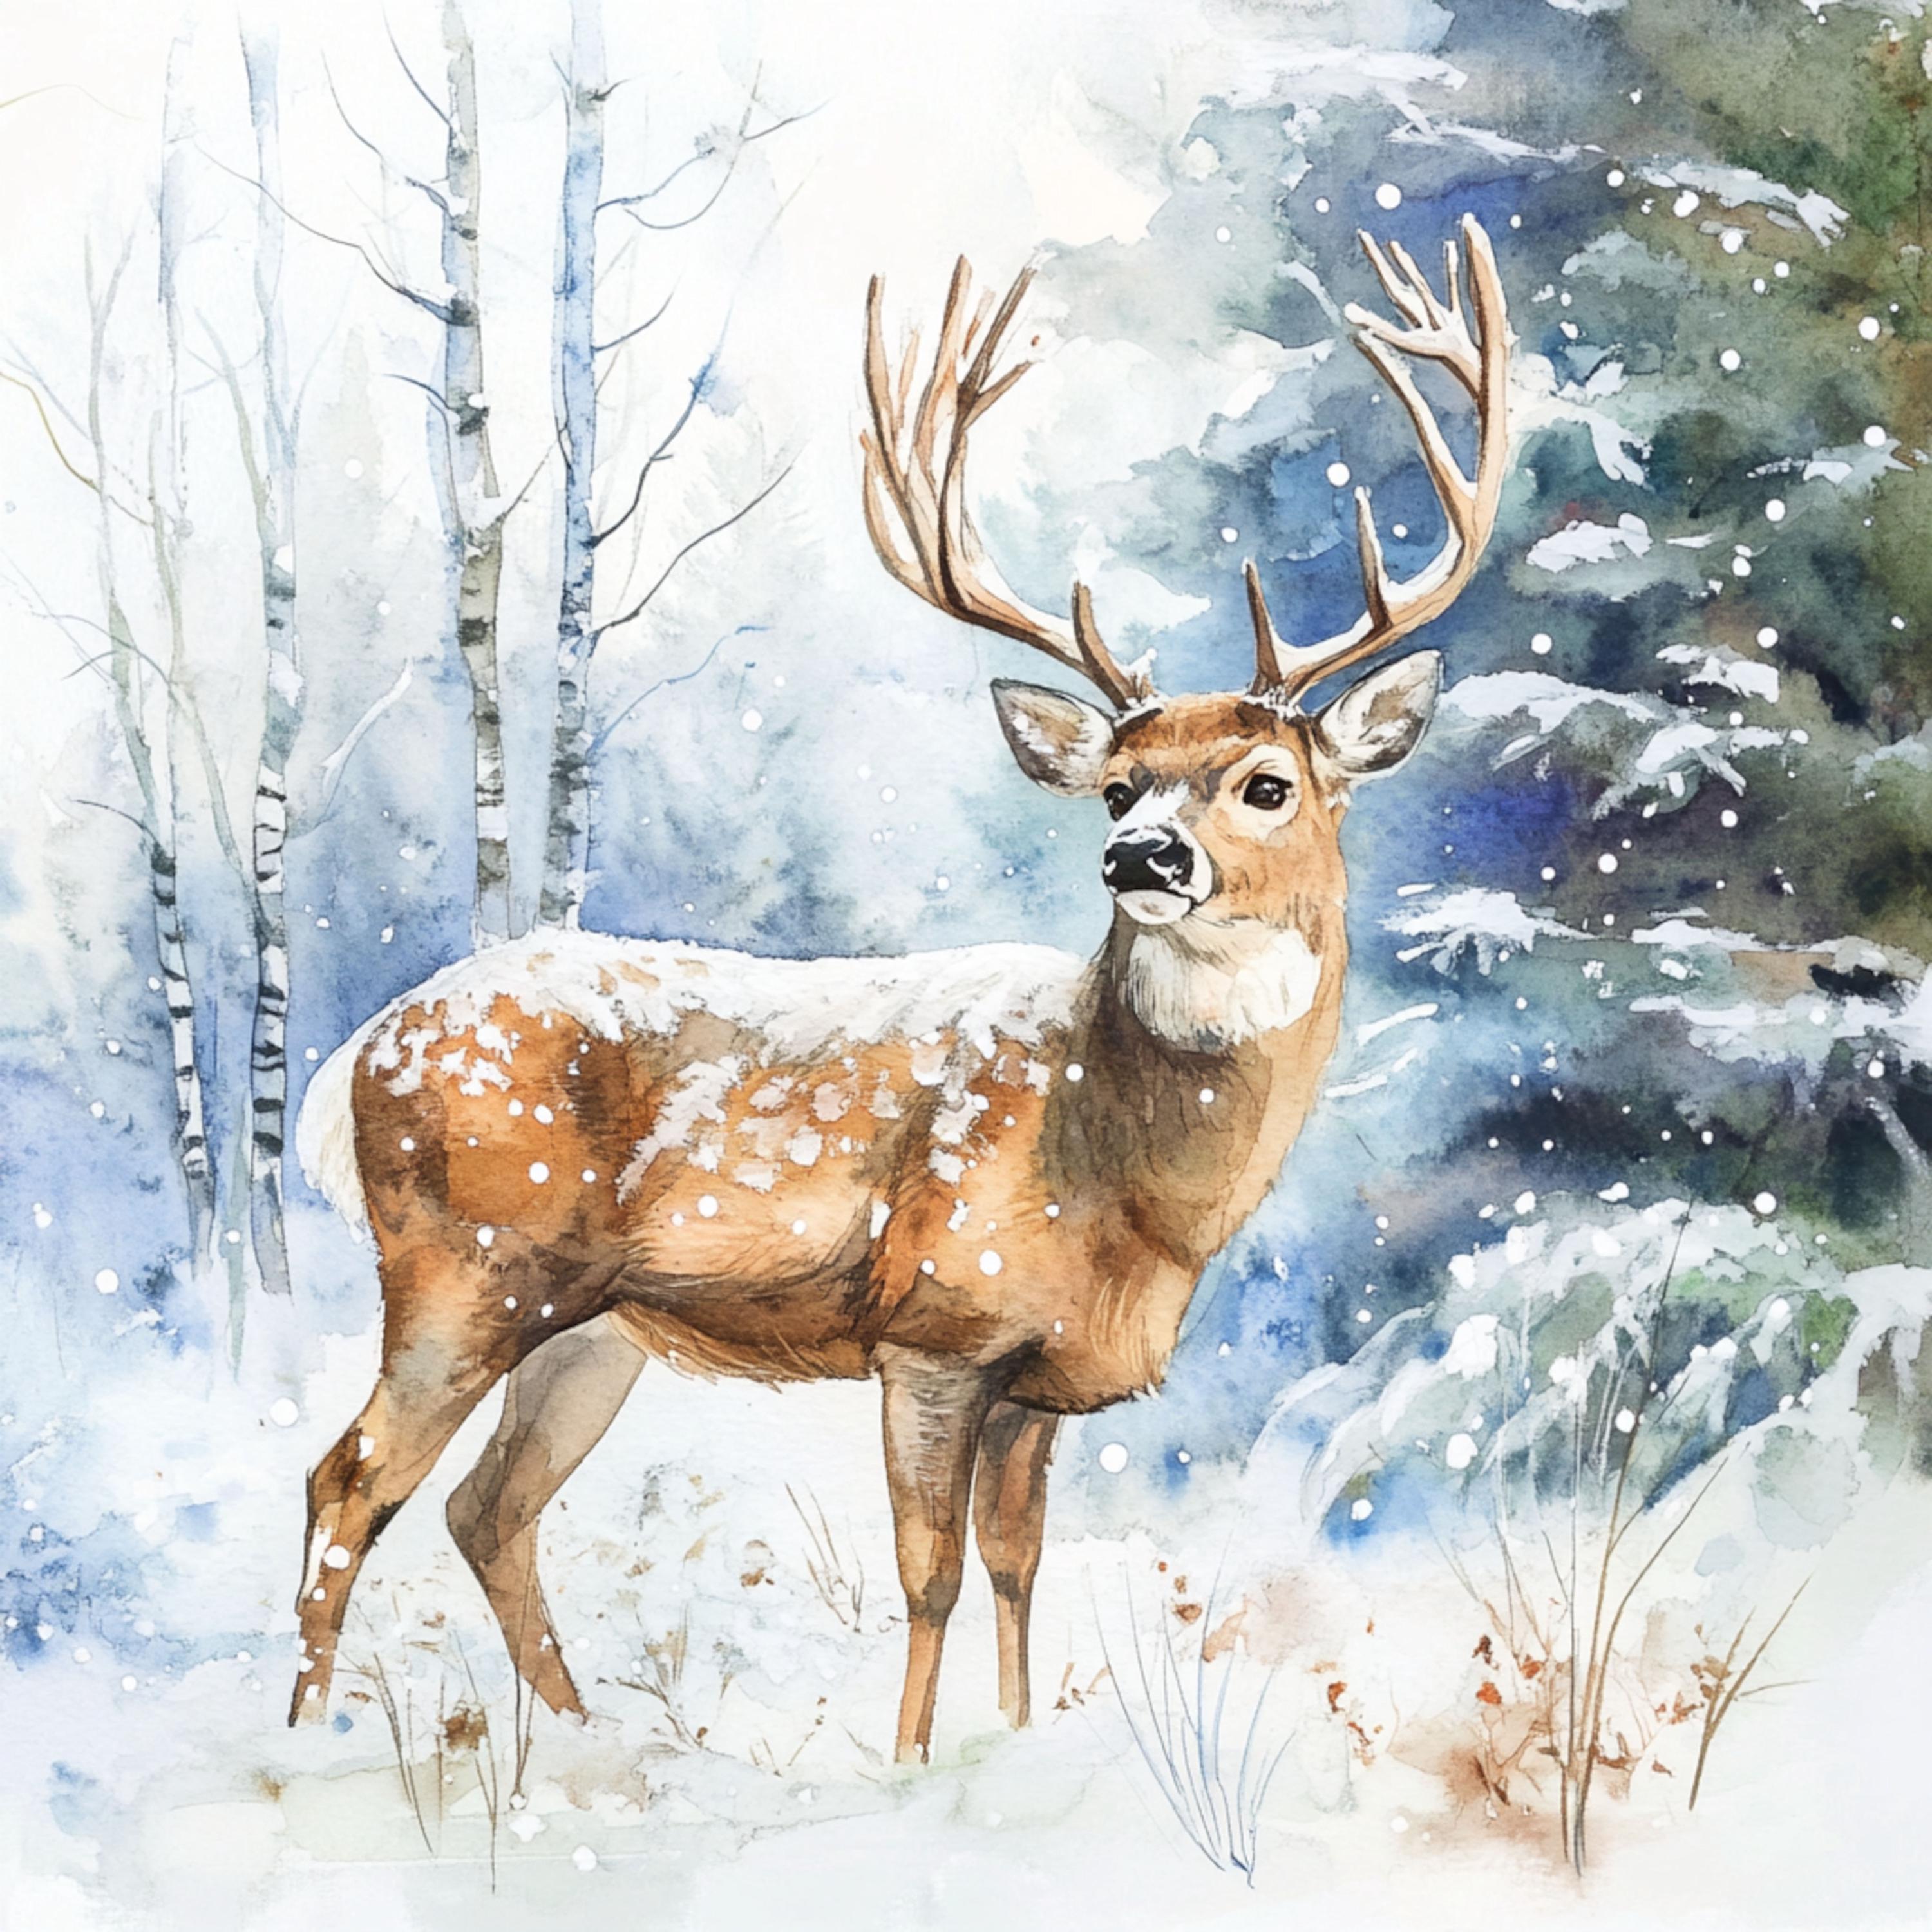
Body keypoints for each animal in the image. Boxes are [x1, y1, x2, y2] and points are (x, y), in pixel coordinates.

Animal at [289, 214, 1510, 1764]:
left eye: (1266, 783)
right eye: (1116, 784)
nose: (1141, 856)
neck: (1126, 1181)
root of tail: (355, 1056)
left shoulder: (1041, 1375)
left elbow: (1014, 1563)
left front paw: (1016, 1739)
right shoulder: (933, 1327)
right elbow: (927, 1573)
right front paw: (915, 1764)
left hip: (594, 1326)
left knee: (484, 1506)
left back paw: (589, 1739)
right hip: (462, 1266)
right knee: (349, 1482)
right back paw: (302, 1740)